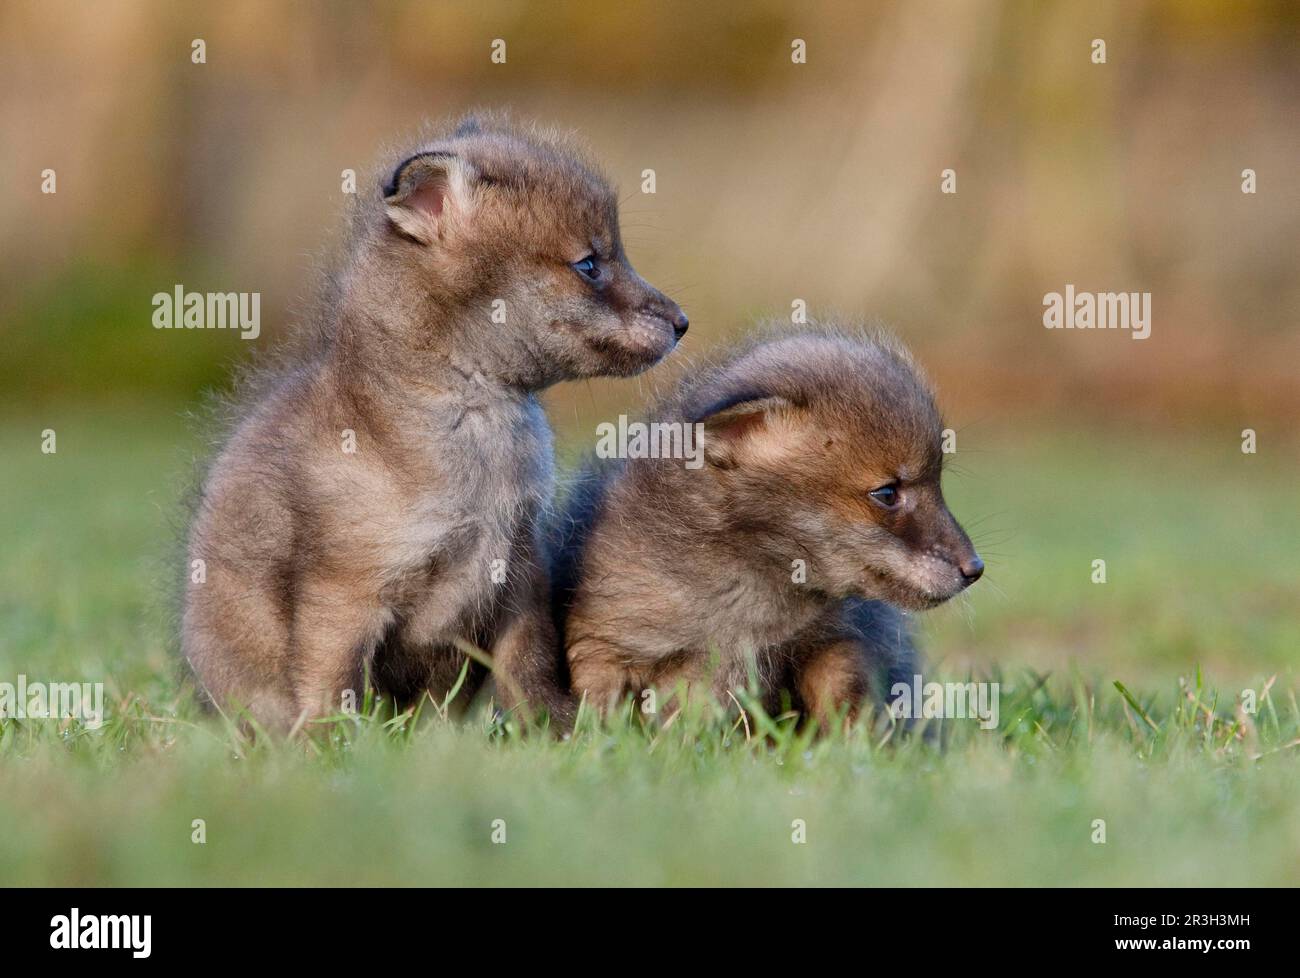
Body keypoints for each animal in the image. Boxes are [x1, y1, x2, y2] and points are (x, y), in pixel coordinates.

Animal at [182, 114, 688, 734]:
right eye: (590, 265)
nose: (683, 322)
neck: (477, 432)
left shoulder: (517, 569)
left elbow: (530, 664)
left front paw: (552, 731)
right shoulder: (343, 590)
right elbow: (332, 684)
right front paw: (329, 745)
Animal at [550, 324, 982, 728]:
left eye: (937, 484)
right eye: (887, 493)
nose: (975, 569)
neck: (751, 587)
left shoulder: (836, 642)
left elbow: (844, 711)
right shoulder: (602, 645)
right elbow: (600, 718)